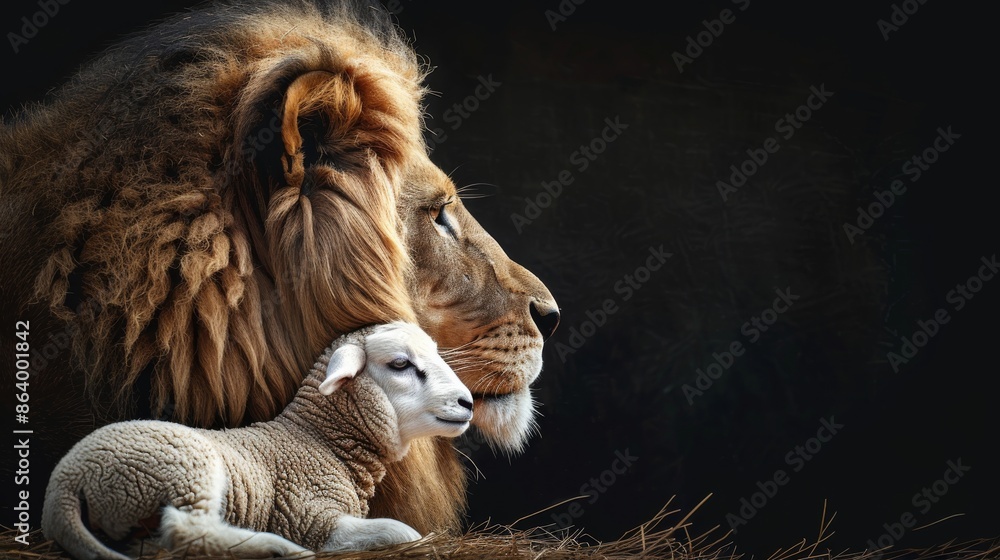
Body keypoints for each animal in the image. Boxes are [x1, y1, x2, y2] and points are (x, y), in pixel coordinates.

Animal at [41, 321, 474, 559]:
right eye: (400, 364)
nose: (467, 402)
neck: (318, 439)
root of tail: (65, 481)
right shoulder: (310, 516)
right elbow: (402, 533)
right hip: (184, 468)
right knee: (184, 531)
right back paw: (275, 547)